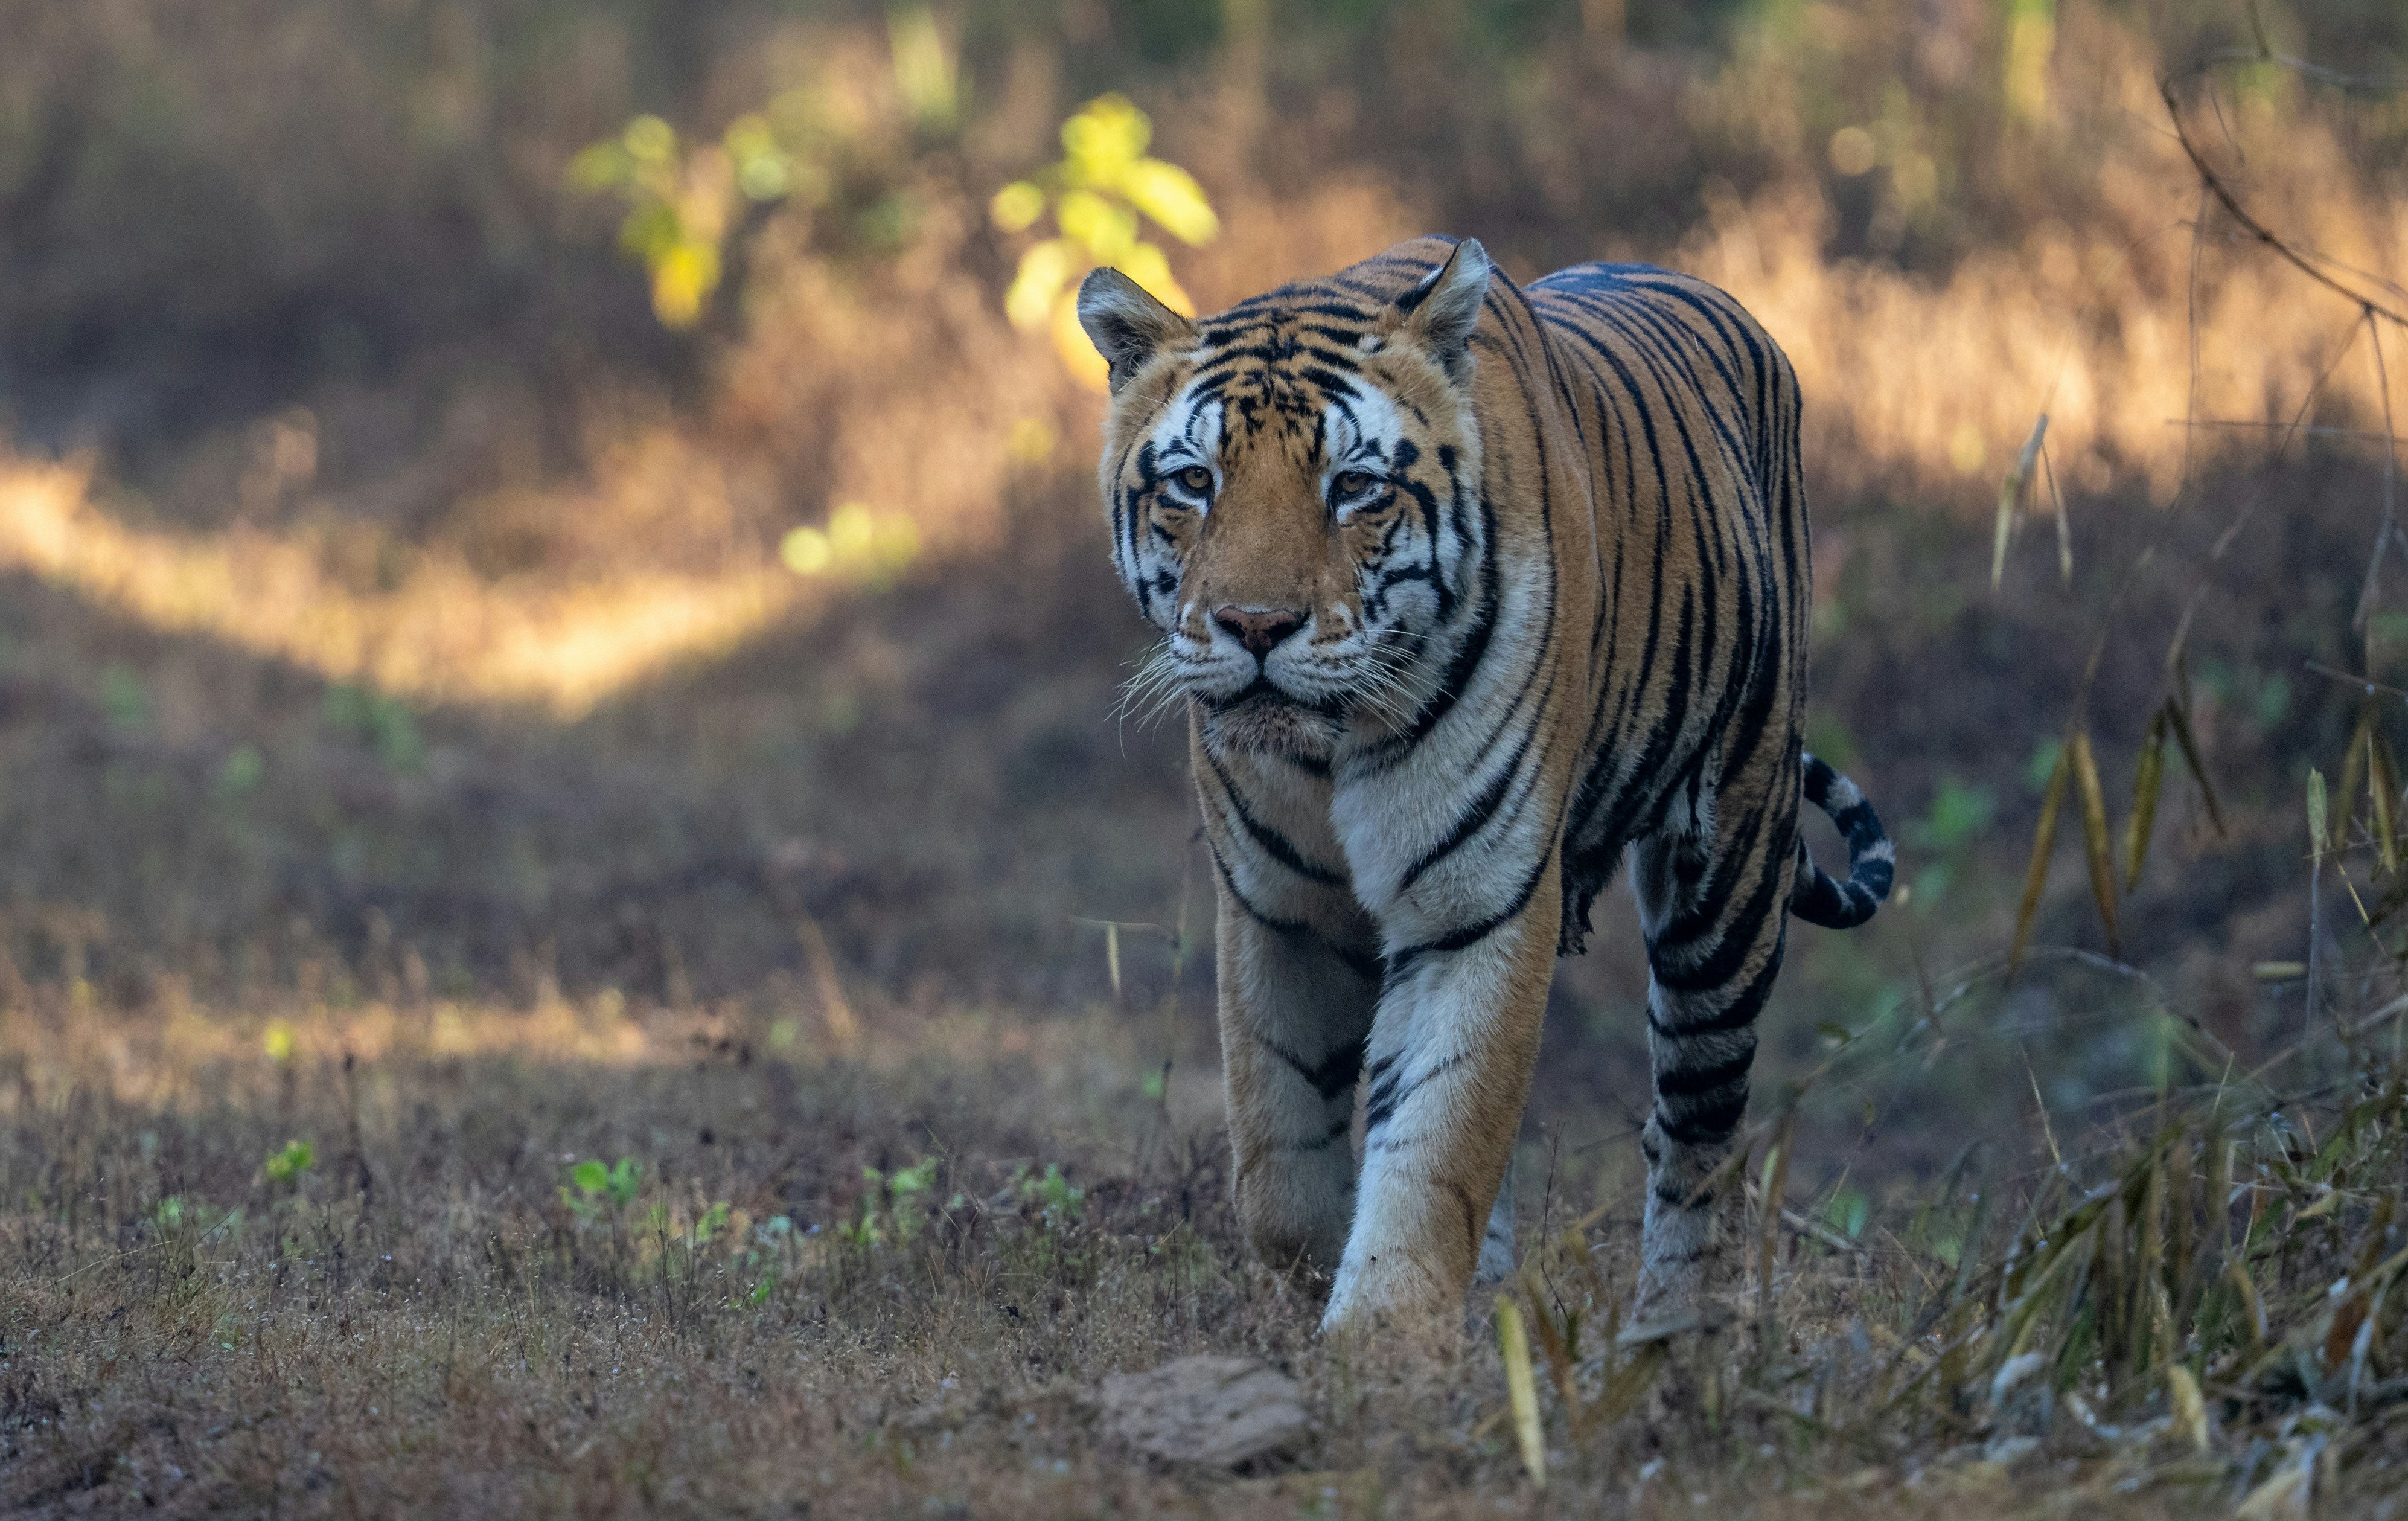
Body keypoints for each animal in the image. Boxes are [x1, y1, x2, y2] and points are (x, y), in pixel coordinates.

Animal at [1077, 235, 1892, 1336]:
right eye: (1193, 482)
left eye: (1353, 486)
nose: (1254, 626)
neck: (1329, 748)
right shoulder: (1275, 908)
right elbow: (1280, 1160)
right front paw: (1312, 1309)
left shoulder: (1477, 907)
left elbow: (1434, 1148)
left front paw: (1379, 1346)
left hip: (1728, 878)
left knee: (1695, 1137)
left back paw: (1669, 1340)